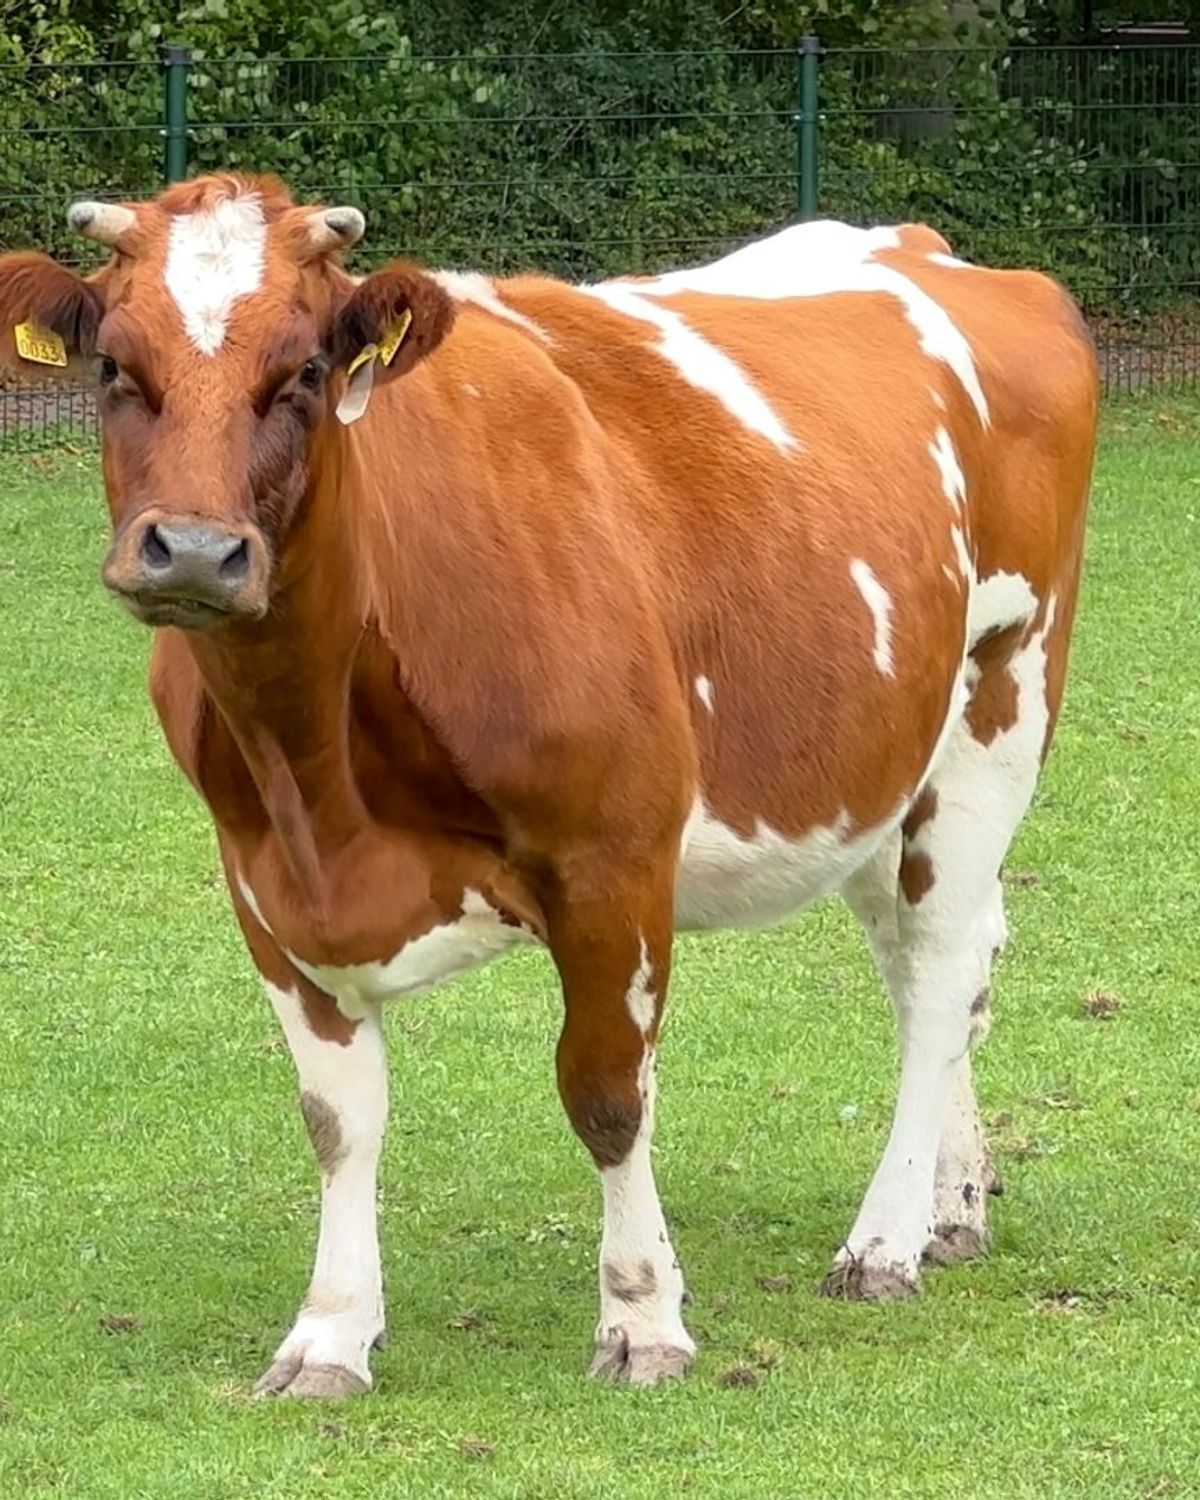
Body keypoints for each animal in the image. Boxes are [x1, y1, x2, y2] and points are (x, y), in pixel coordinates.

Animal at [0, 174, 1098, 1396]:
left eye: (306, 370)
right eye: (113, 368)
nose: (194, 551)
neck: (321, 772)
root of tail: (936, 253)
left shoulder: (612, 865)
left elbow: (608, 1095)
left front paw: (643, 1316)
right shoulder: (262, 884)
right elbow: (338, 1119)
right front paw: (331, 1332)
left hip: (1000, 699)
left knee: (944, 970)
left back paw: (884, 1240)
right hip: (878, 762)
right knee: (927, 975)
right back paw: (950, 1206)